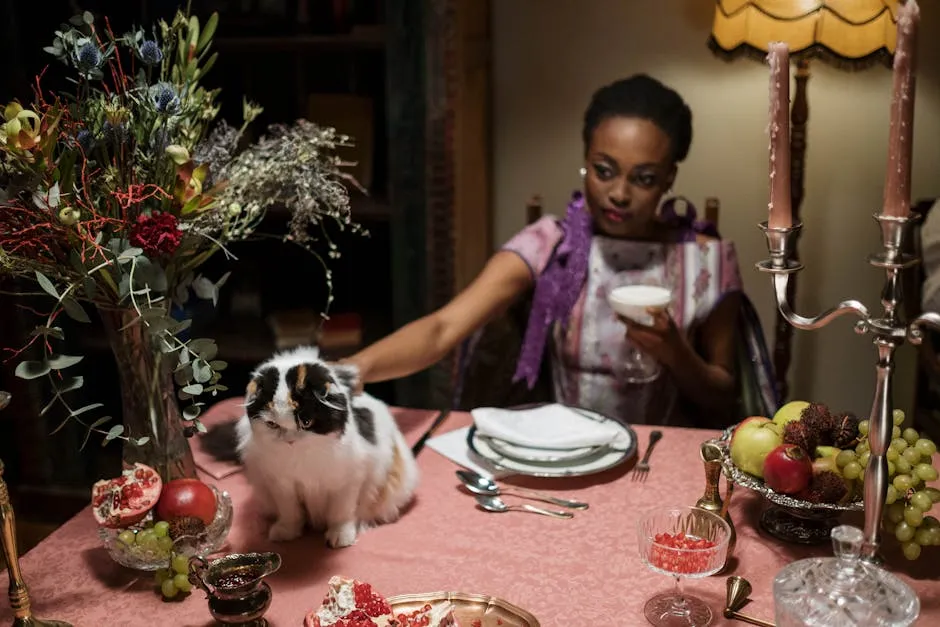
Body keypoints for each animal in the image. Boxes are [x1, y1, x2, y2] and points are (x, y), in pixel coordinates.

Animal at [209, 346, 422, 548]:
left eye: (306, 422)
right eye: (272, 425)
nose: (290, 440)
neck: (302, 457)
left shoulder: (348, 481)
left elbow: (341, 512)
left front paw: (341, 535)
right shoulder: (281, 484)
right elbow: (290, 512)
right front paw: (287, 530)